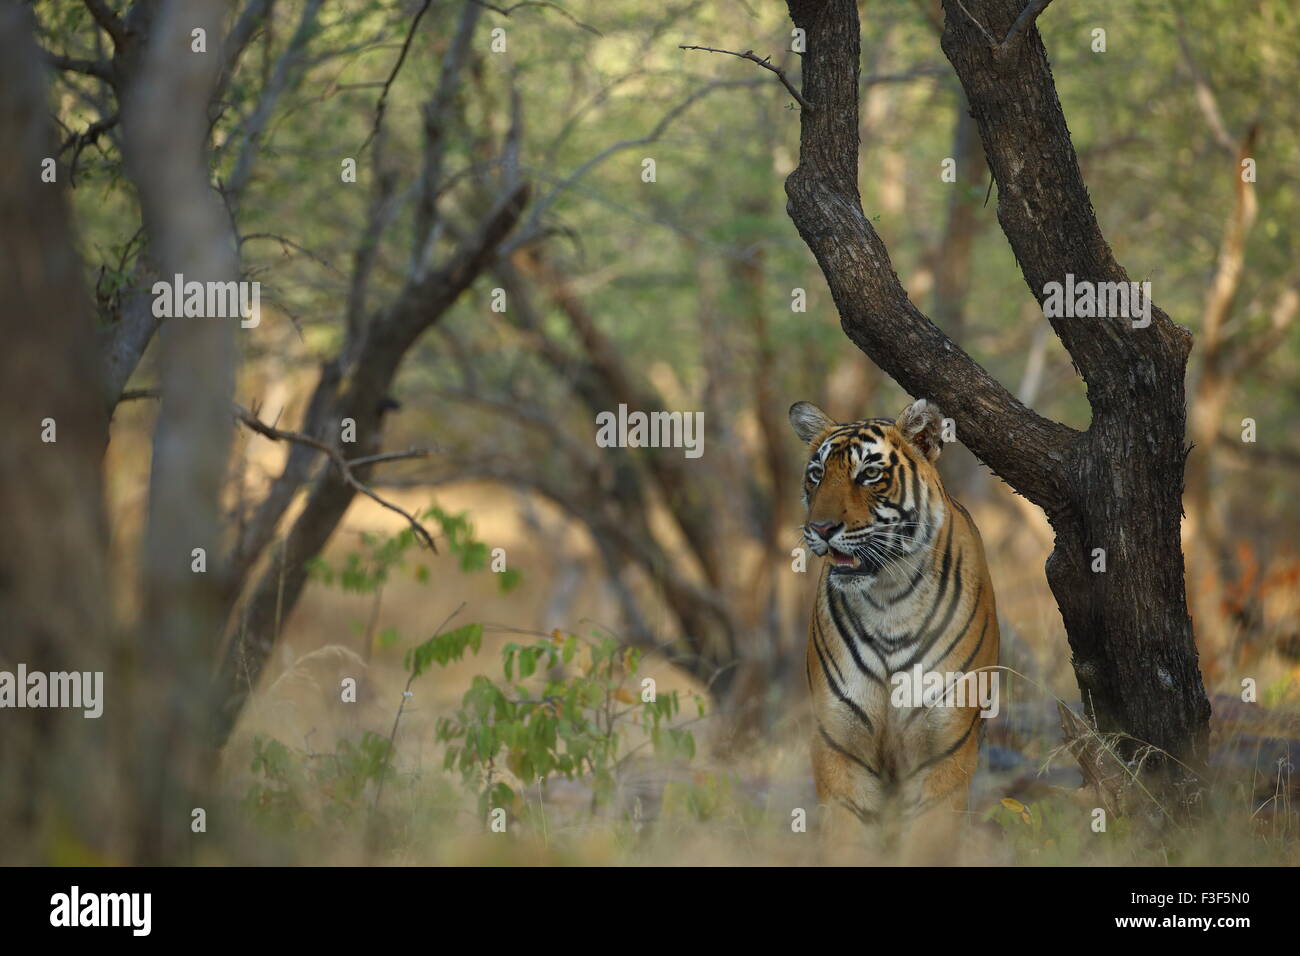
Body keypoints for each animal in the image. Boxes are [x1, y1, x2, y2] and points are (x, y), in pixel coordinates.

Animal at [789, 398, 999, 855]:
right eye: (816, 474)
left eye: (869, 474)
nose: (820, 529)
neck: (889, 599)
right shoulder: (840, 745)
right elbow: (846, 842)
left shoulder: (944, 749)